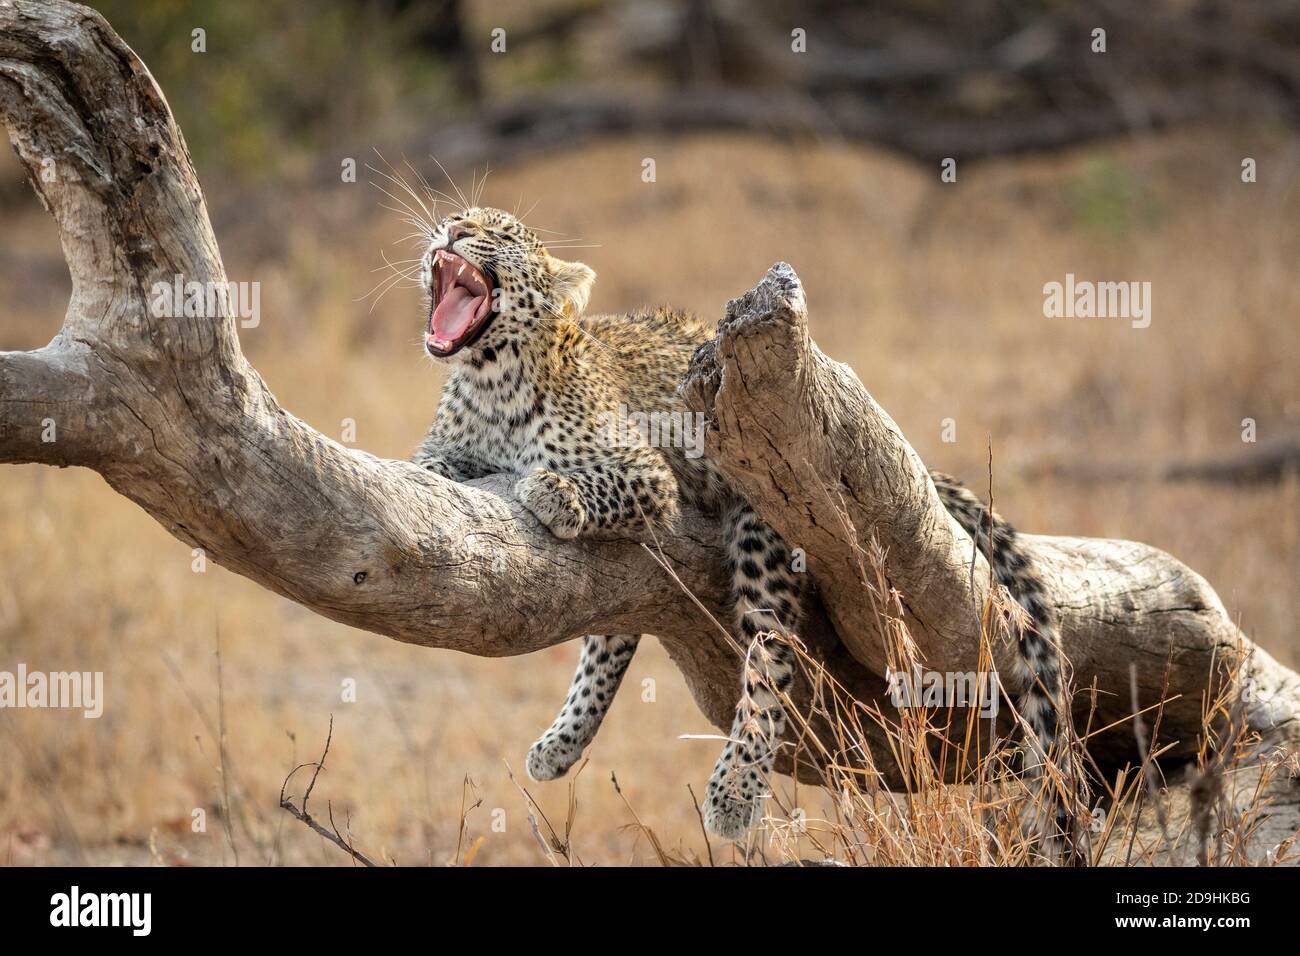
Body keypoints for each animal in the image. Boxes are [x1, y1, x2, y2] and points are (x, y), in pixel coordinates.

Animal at [409, 204, 1068, 845]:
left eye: (501, 232)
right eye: (464, 215)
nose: (455, 227)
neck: (488, 381)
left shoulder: (648, 474)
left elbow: (591, 484)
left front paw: (553, 491)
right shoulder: (438, 453)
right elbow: (425, 472)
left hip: (762, 529)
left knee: (769, 660)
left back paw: (734, 792)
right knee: (612, 639)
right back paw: (560, 745)